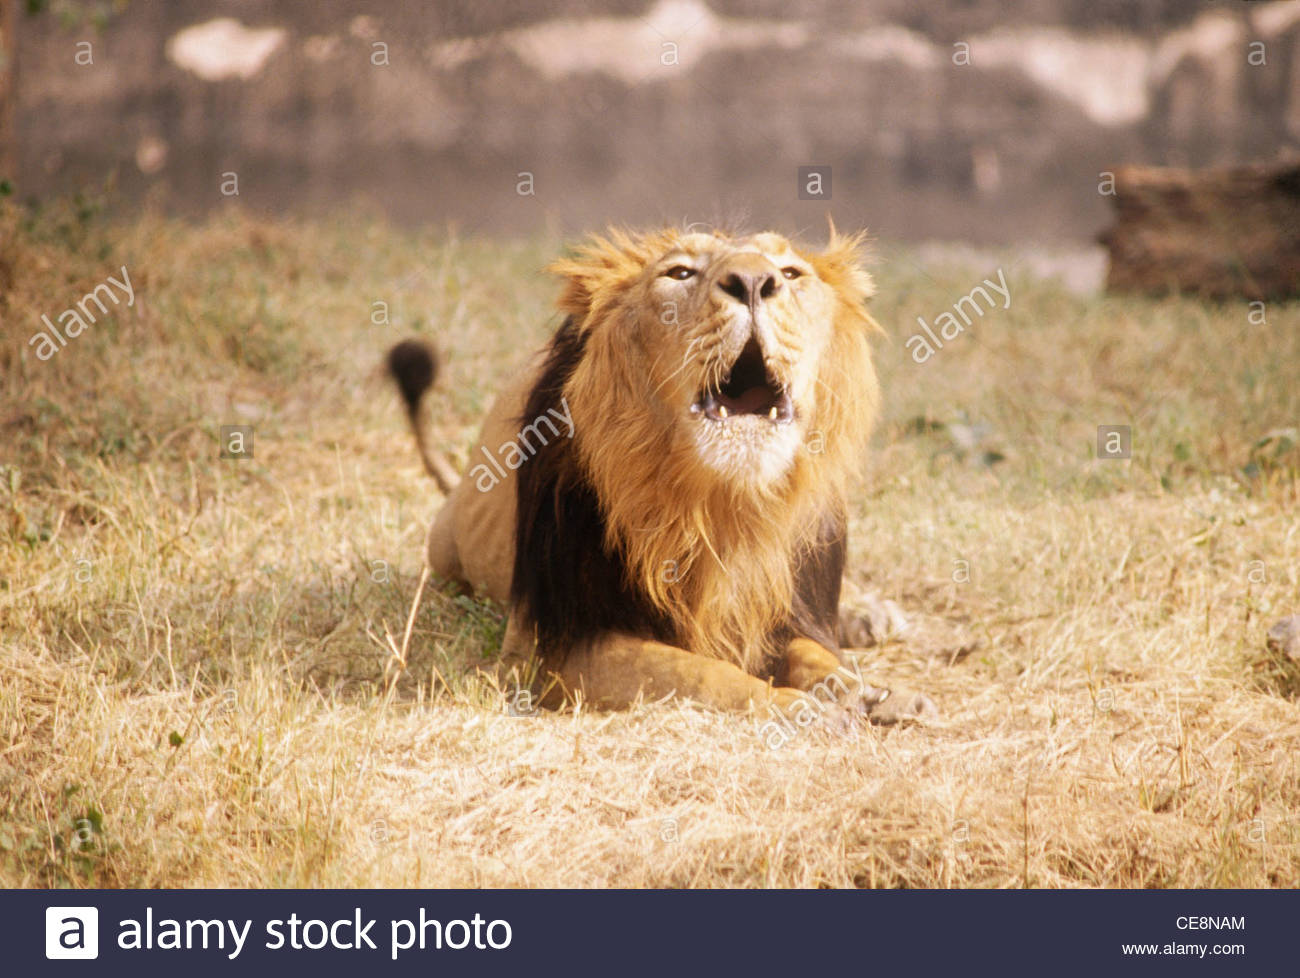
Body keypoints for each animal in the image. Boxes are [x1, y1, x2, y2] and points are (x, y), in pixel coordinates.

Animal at [387, 226, 937, 725]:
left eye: (790, 273)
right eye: (680, 273)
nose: (753, 280)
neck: (722, 506)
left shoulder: (790, 610)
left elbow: (814, 653)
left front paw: (871, 692)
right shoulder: (545, 650)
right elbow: (693, 670)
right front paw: (794, 706)